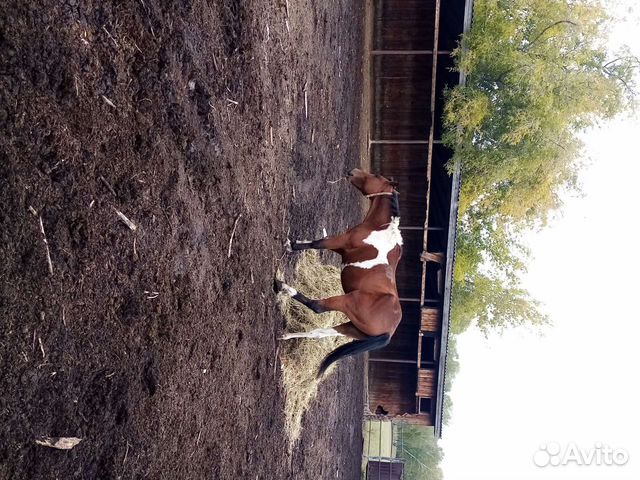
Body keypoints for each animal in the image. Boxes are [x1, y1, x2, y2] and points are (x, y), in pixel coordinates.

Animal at [275, 168, 403, 377]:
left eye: (376, 176)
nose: (352, 172)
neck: (379, 230)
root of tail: (390, 331)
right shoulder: (340, 248)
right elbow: (314, 242)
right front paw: (293, 242)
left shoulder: (340, 241)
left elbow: (317, 243)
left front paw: (290, 245)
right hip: (351, 328)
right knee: (320, 333)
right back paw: (285, 335)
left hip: (346, 301)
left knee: (317, 306)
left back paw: (284, 287)